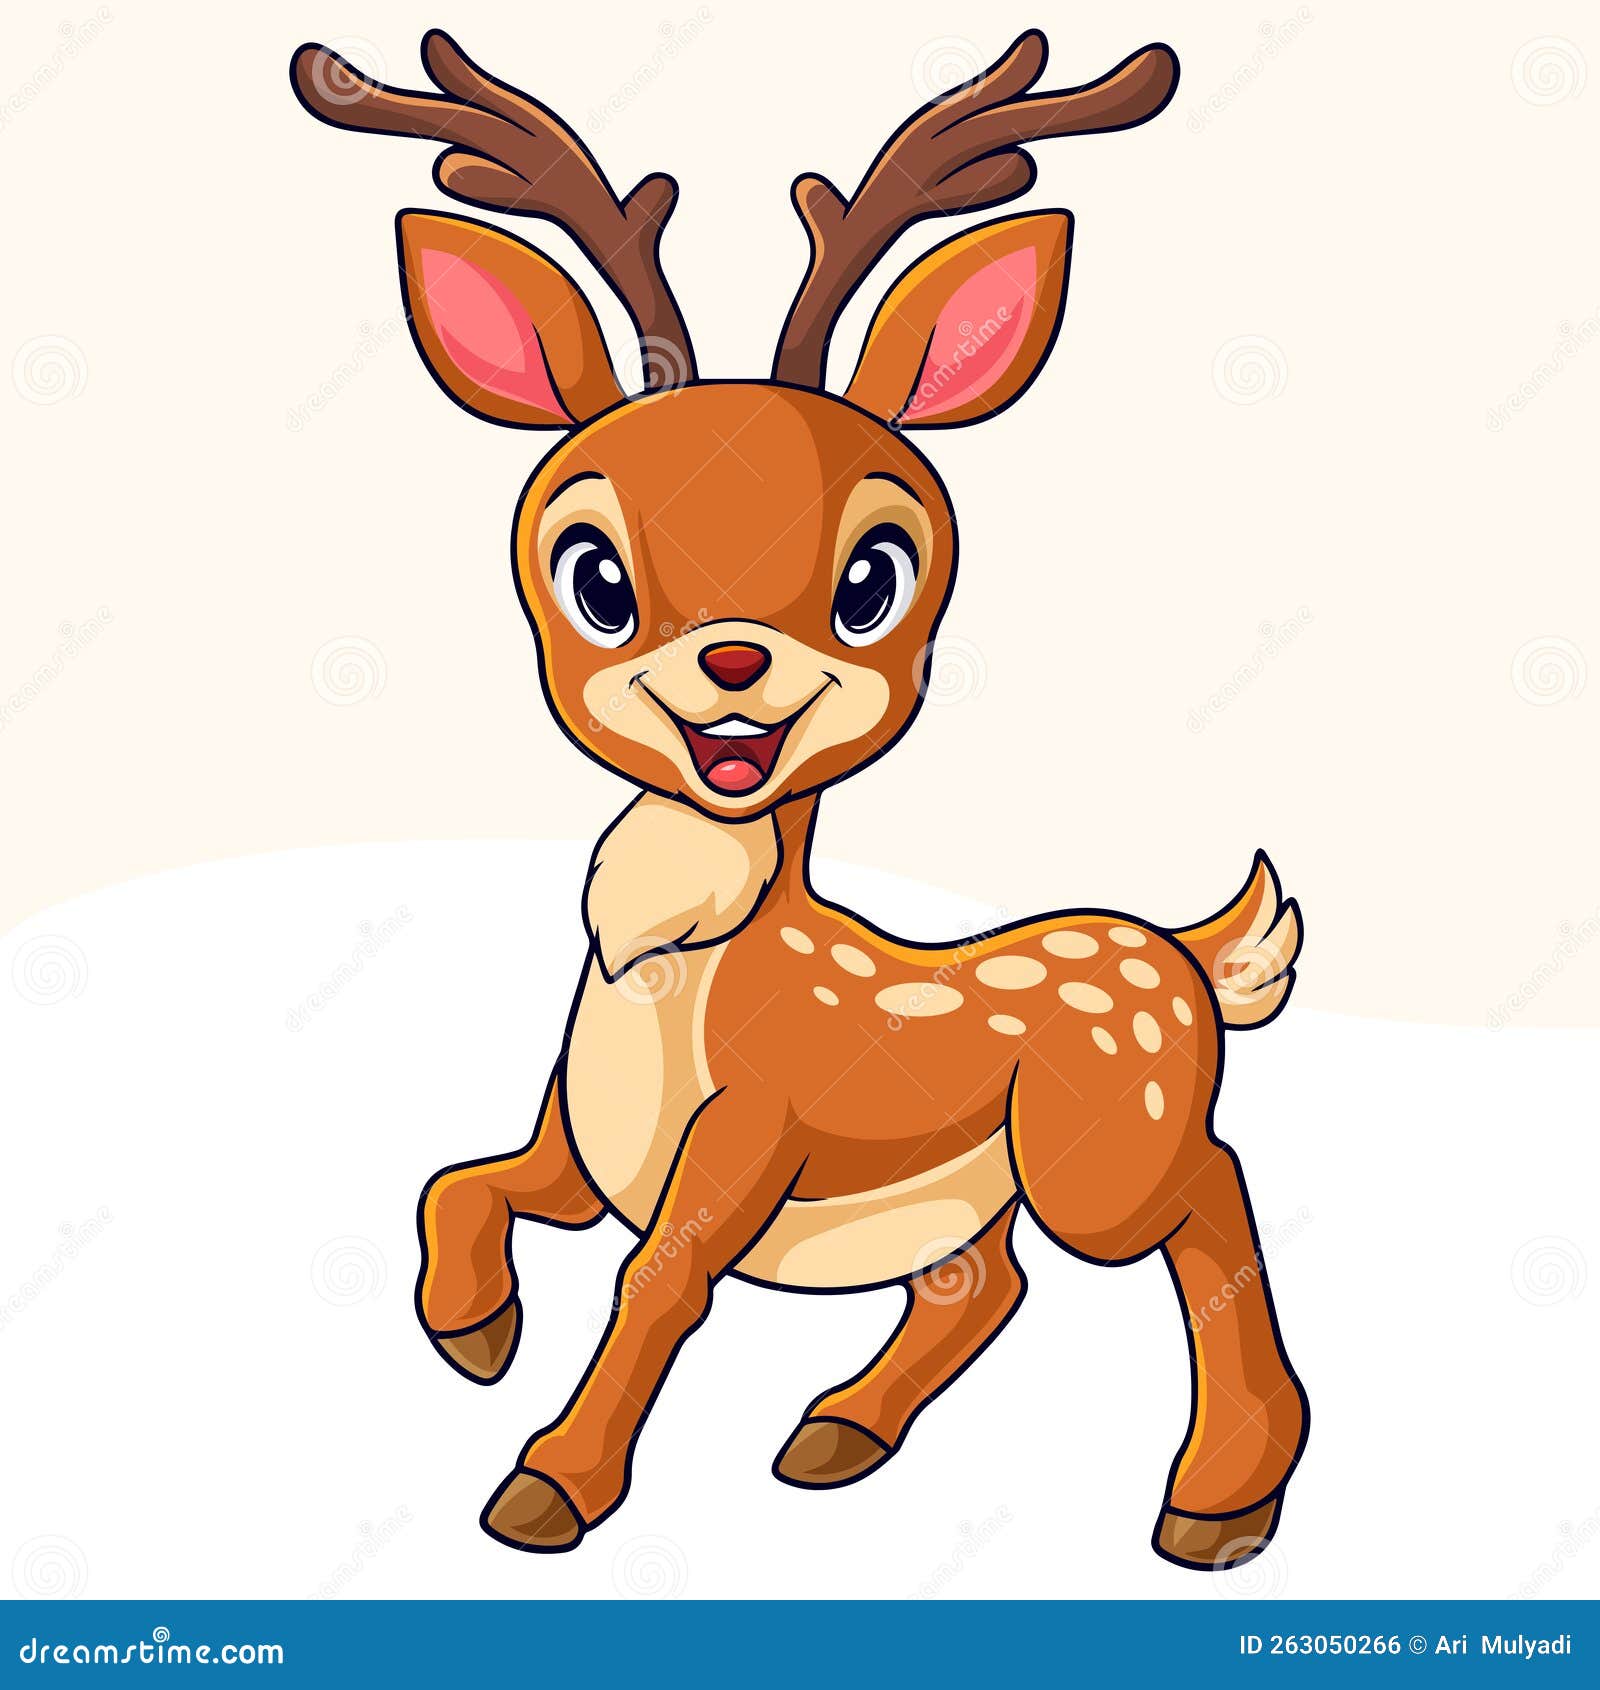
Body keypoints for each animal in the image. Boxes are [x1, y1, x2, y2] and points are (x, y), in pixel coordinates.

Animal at [291, 24, 1309, 1571]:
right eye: (594, 573)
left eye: (873, 576)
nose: (731, 663)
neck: (684, 983)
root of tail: (1182, 953)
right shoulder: (578, 1144)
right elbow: (461, 1179)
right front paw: (473, 1330)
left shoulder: (752, 1134)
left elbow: (657, 1285)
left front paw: (548, 1486)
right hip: (988, 1197)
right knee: (986, 1281)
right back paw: (840, 1432)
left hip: (1107, 1150)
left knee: (1213, 1199)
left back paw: (1219, 1499)